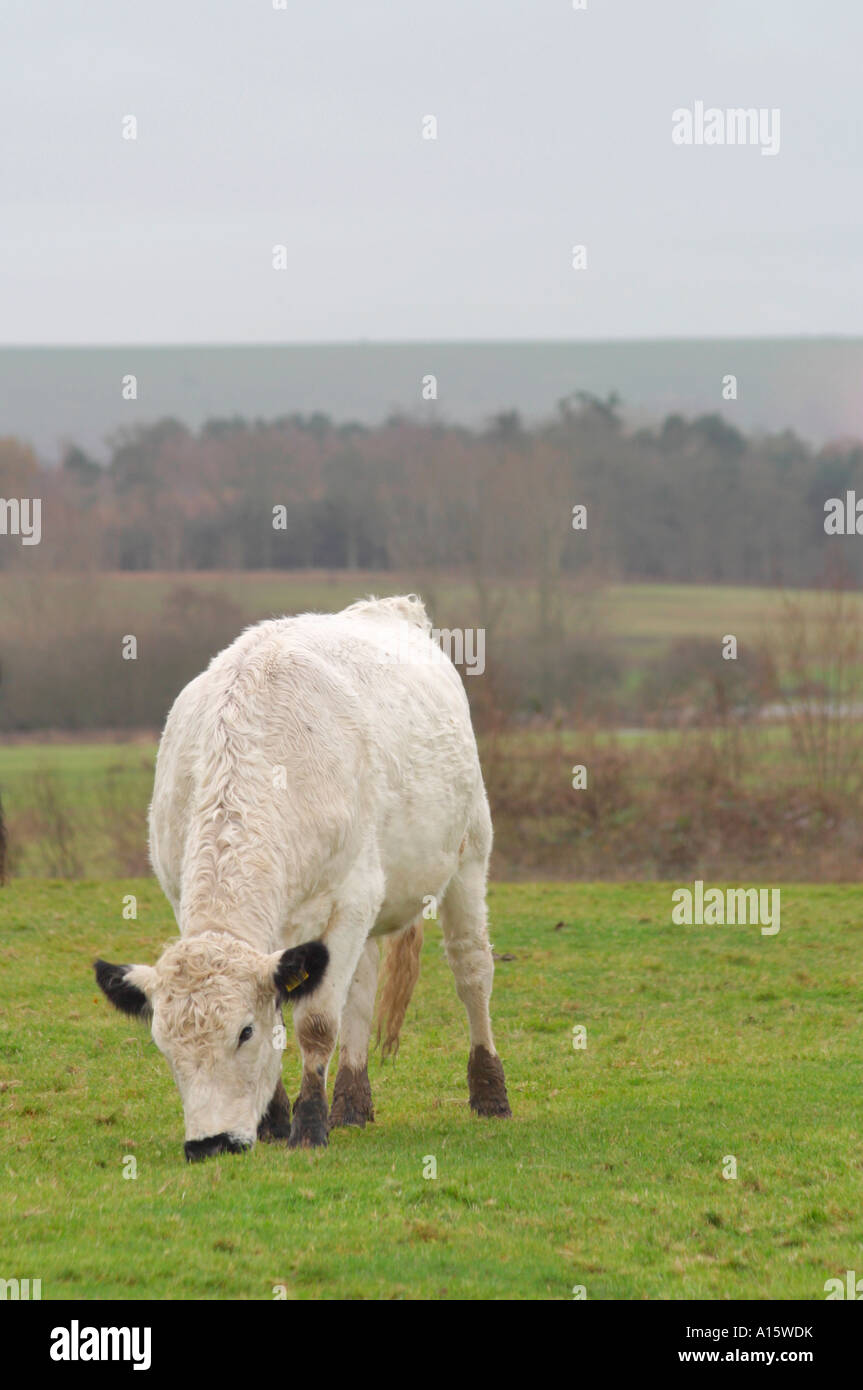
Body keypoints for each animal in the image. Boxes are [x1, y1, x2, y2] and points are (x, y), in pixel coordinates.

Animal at [95, 595, 511, 1160]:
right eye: (164, 1044)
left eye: (244, 1033)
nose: (209, 1144)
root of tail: (389, 606)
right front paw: (275, 1120)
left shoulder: (350, 899)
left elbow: (315, 1023)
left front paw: (308, 1124)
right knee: (361, 987)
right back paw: (352, 1103)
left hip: (468, 856)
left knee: (471, 970)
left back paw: (490, 1092)